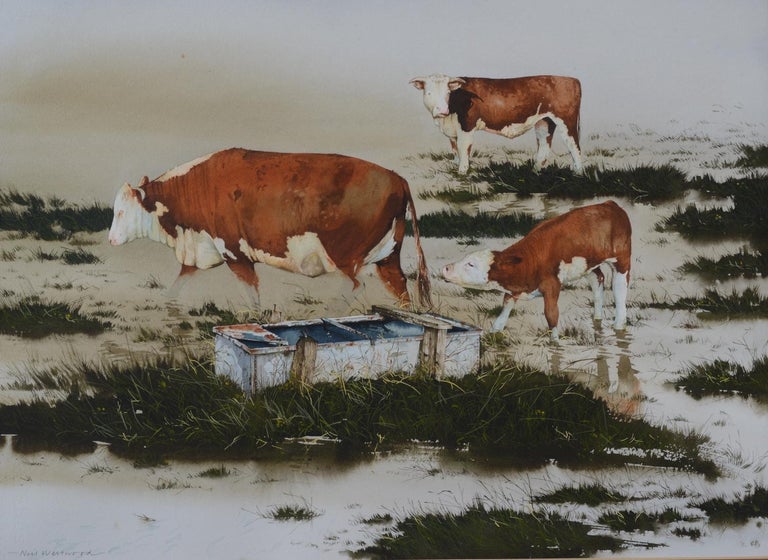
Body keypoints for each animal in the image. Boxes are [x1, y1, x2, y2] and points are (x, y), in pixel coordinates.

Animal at [108, 148, 432, 308]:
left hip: (345, 258)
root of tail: (397, 178)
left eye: (121, 212)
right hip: (388, 258)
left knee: (354, 286)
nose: (110, 239)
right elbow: (176, 286)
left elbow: (252, 297)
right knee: (400, 290)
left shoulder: (236, 254)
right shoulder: (202, 251)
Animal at [410, 74, 583, 174]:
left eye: (448, 92)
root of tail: (571, 79)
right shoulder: (452, 132)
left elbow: (464, 151)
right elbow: (455, 150)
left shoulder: (467, 127)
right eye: (429, 92)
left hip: (567, 120)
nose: (442, 110)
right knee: (544, 145)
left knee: (574, 147)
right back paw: (535, 171)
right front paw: (456, 169)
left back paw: (579, 173)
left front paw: (462, 173)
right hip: (544, 121)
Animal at [441, 201, 630, 341]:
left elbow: (551, 315)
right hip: (589, 264)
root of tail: (610, 204)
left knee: (619, 290)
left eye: (471, 264)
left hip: (622, 260)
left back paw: (619, 325)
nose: (446, 268)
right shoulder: (514, 288)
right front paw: (495, 330)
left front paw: (555, 343)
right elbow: (505, 307)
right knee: (598, 280)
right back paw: (597, 317)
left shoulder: (552, 285)